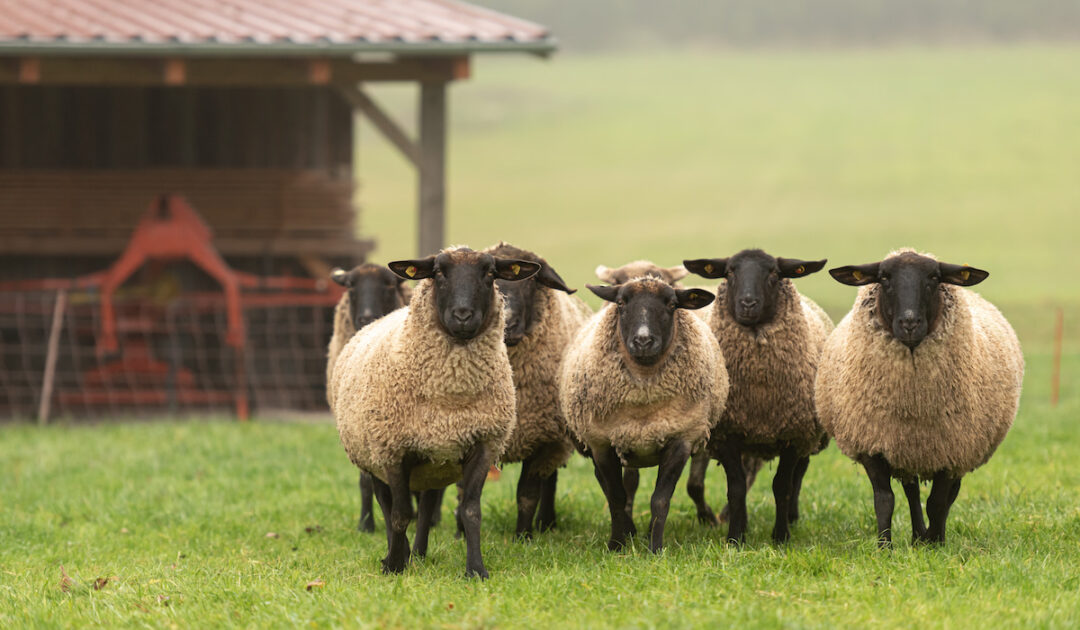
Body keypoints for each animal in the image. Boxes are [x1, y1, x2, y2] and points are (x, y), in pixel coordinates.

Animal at [327, 264, 415, 533]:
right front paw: (365, 524)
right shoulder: (358, 427)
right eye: (351, 286)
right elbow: (365, 480)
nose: (367, 317)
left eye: (389, 285)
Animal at [482, 242, 592, 538]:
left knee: (550, 480)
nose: (508, 324)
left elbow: (527, 494)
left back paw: (546, 523)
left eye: (531, 281)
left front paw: (523, 536)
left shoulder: (542, 439)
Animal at [559, 277, 727, 552]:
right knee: (609, 485)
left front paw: (655, 548)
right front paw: (617, 544)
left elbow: (660, 499)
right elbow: (616, 497)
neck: (643, 403)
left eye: (672, 304)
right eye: (620, 302)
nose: (643, 341)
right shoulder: (602, 444)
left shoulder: (680, 439)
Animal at [683, 249, 832, 543]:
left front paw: (781, 535)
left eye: (774, 273)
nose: (748, 303)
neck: (759, 388)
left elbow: (782, 485)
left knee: (800, 472)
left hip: (810, 433)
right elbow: (737, 486)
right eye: (730, 272)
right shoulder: (728, 433)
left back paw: (792, 516)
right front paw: (736, 536)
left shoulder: (793, 433)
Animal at [816, 249, 1023, 545]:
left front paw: (936, 543)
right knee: (911, 491)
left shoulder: (952, 449)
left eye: (934, 277)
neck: (913, 402)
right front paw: (885, 547)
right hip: (907, 449)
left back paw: (929, 537)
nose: (909, 323)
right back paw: (916, 537)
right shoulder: (873, 443)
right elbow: (884, 500)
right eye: (884, 277)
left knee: (949, 495)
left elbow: (937, 503)